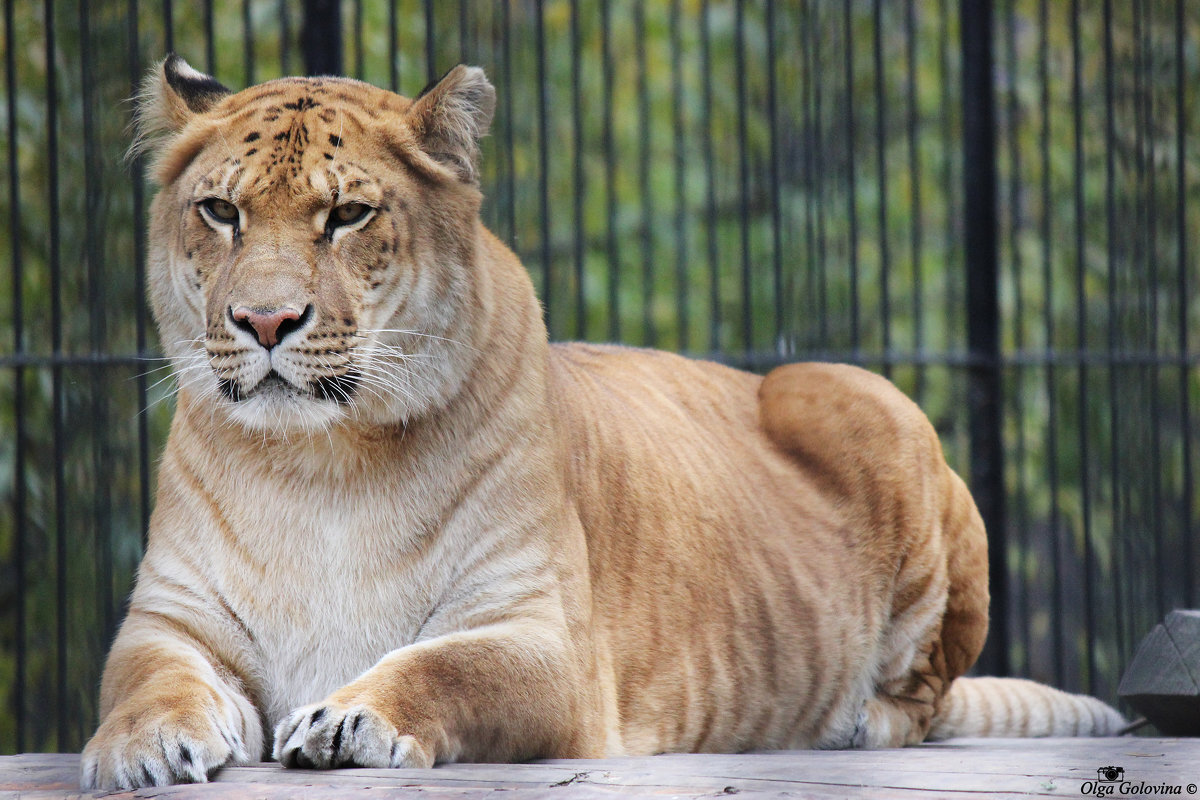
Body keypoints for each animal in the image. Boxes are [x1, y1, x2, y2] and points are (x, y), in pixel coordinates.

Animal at [80, 55, 1124, 791]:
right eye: (220, 211)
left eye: (347, 216)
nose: (263, 322)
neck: (322, 463)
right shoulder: (170, 619)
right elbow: (140, 681)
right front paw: (137, 746)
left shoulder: (546, 643)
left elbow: (443, 670)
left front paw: (346, 721)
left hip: (865, 398)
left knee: (929, 689)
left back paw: (855, 718)